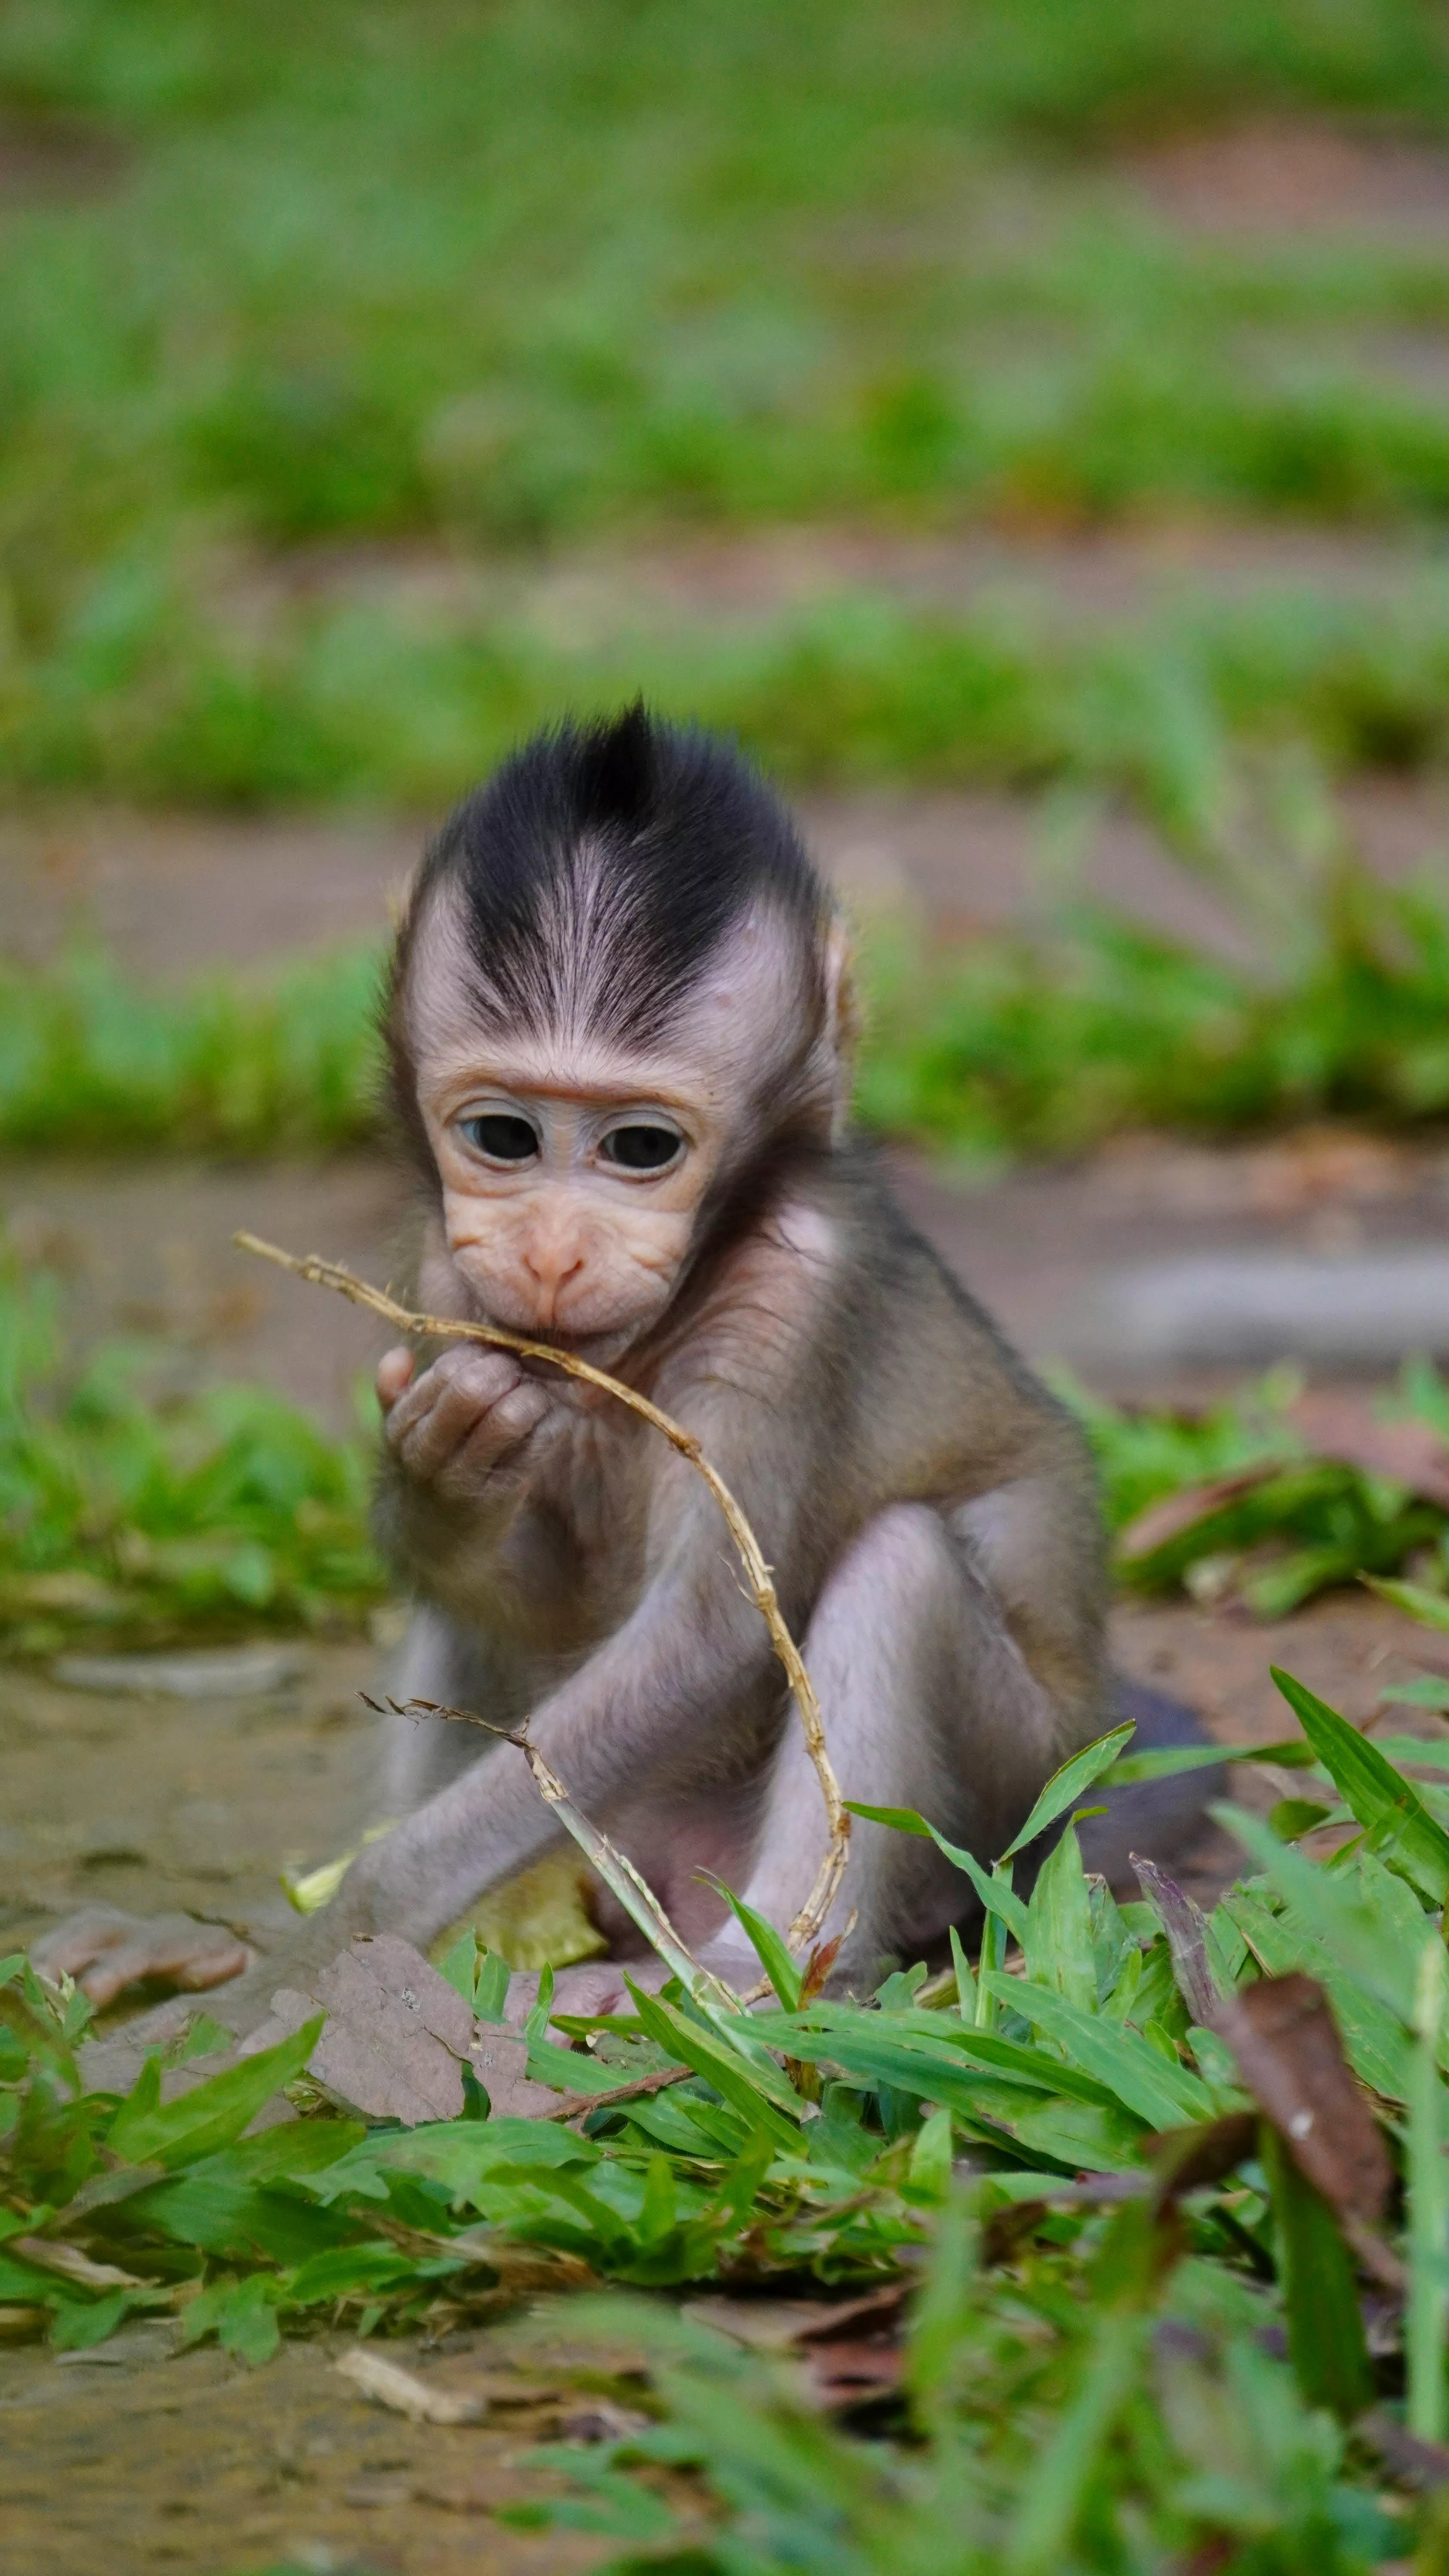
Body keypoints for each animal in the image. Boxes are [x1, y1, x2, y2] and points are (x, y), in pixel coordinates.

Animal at [33, 707, 1216, 2039]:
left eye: (641, 1148)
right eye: (504, 1136)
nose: (552, 1251)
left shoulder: (803, 1299)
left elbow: (707, 1640)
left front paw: (325, 1949)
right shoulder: (446, 1280)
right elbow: (519, 1588)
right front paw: (448, 1481)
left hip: (1009, 1793)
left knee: (900, 1565)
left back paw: (756, 1978)